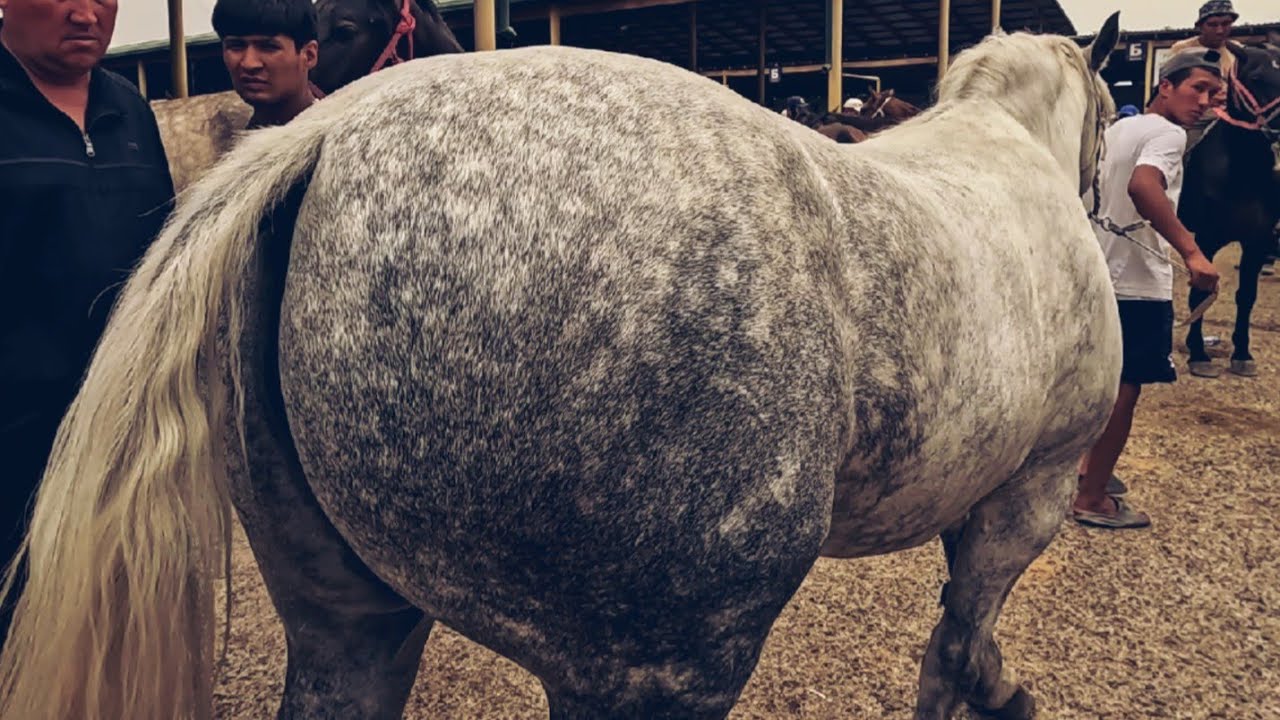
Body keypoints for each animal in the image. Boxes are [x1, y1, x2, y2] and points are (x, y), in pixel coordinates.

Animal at [1178, 41, 1280, 378]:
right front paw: (1198, 353)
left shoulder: (1257, 240)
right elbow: (1200, 294)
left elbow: (1246, 297)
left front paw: (1242, 353)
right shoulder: (1206, 238)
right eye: (1257, 78)